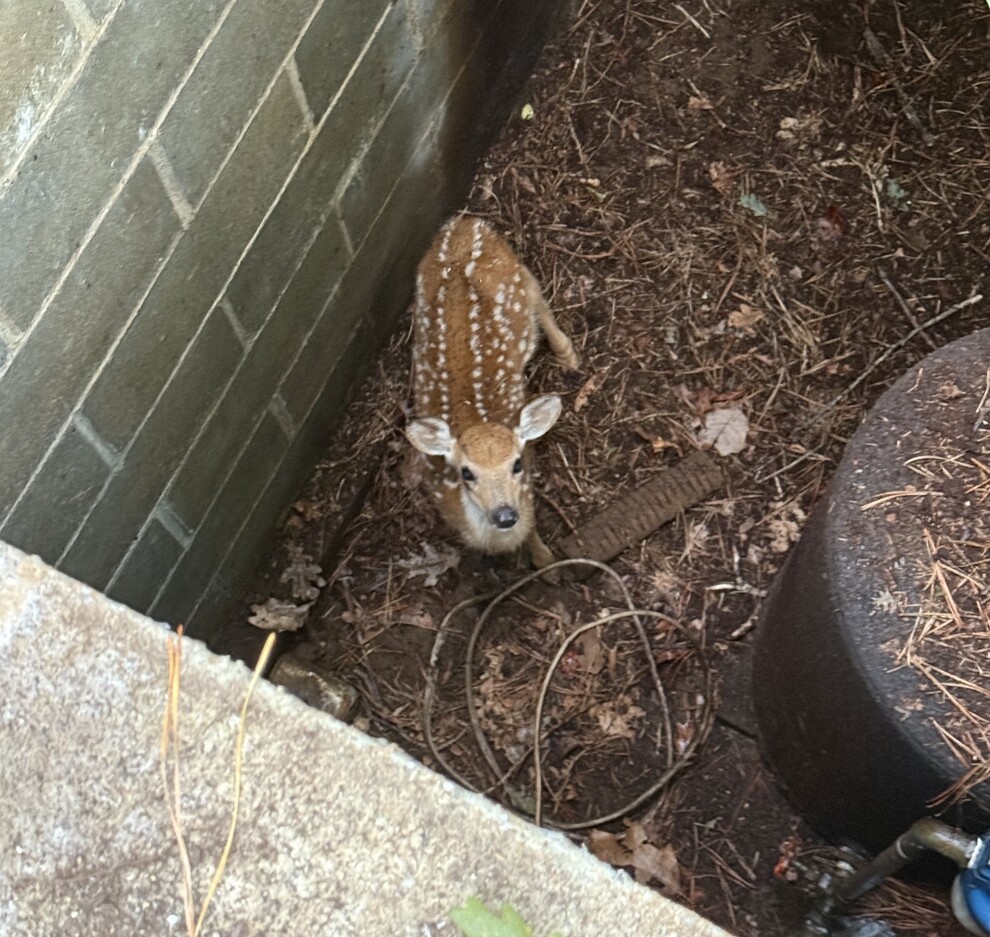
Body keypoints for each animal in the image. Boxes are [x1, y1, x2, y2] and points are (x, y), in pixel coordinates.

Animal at [404, 215, 579, 569]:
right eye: (466, 473)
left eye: (517, 464)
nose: (504, 515)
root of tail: (465, 222)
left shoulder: (526, 489)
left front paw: (545, 562)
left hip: (517, 277)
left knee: (536, 292)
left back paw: (569, 357)